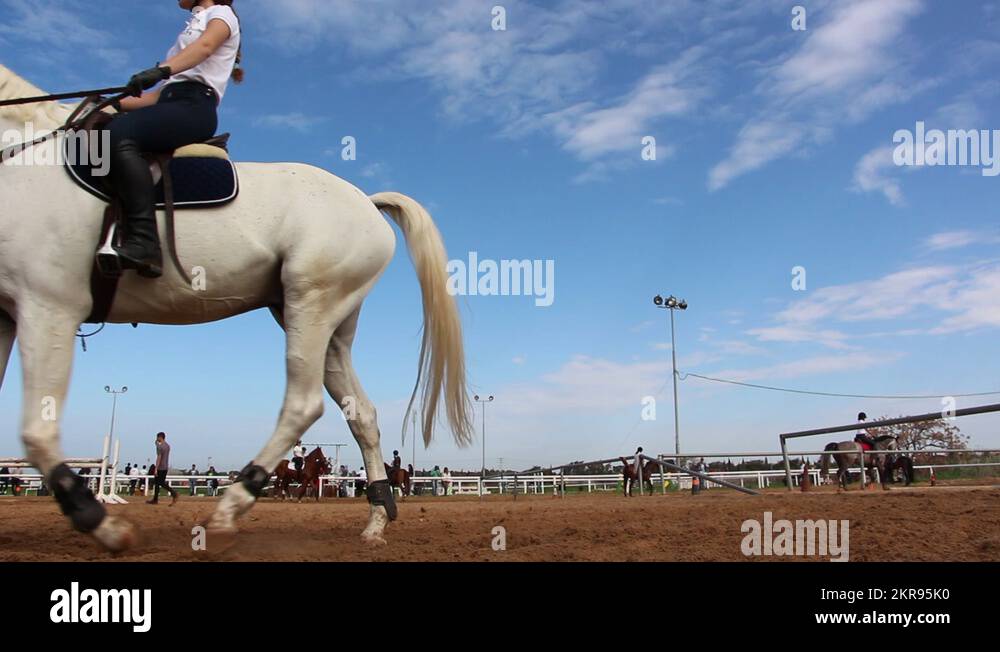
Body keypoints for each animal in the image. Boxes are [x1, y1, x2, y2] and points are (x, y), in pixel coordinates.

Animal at [0, 64, 474, 552]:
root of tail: (366, 201)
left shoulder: (49, 305)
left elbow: (36, 430)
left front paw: (101, 523)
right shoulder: (8, 315)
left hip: (311, 304)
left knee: (303, 405)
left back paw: (231, 506)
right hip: (327, 325)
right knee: (361, 413)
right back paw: (376, 517)